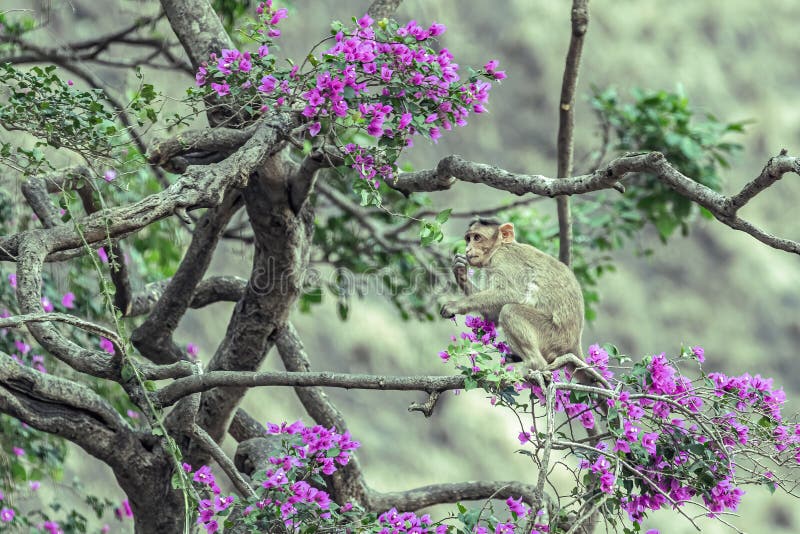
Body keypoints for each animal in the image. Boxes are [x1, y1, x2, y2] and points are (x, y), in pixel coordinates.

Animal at [441, 217, 597, 386]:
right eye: (468, 239)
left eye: (477, 237)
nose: (468, 249)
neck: (501, 247)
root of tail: (574, 344)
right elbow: (492, 315)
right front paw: (459, 270)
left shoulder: (503, 259)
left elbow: (512, 294)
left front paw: (454, 305)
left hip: (554, 337)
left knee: (510, 311)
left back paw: (535, 365)